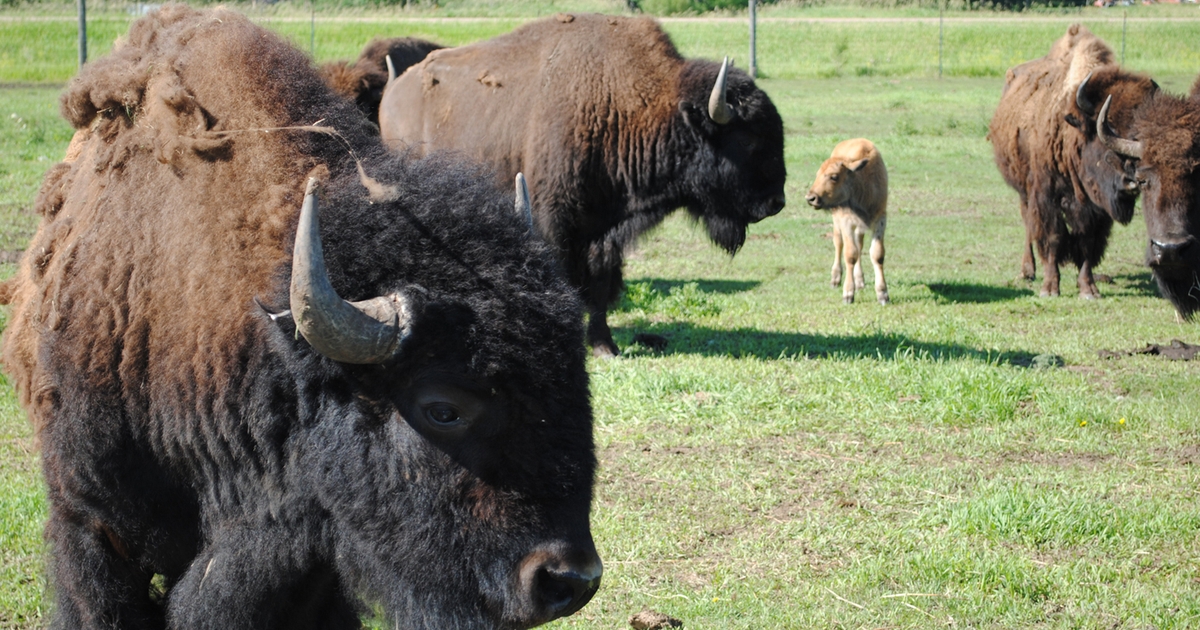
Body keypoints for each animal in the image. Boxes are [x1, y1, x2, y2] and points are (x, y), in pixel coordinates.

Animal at [378, 13, 787, 357]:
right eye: (748, 138)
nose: (776, 202)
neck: (629, 106)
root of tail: (394, 91)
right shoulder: (556, 222)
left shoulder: (603, 230)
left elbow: (600, 286)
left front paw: (605, 346)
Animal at [988, 24, 1157, 299]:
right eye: (1106, 131)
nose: (1132, 182)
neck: (1073, 134)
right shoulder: (1047, 196)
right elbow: (1054, 237)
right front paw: (1050, 288)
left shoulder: (1097, 210)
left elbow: (1088, 244)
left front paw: (1089, 289)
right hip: (1025, 189)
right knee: (1028, 223)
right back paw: (1027, 271)